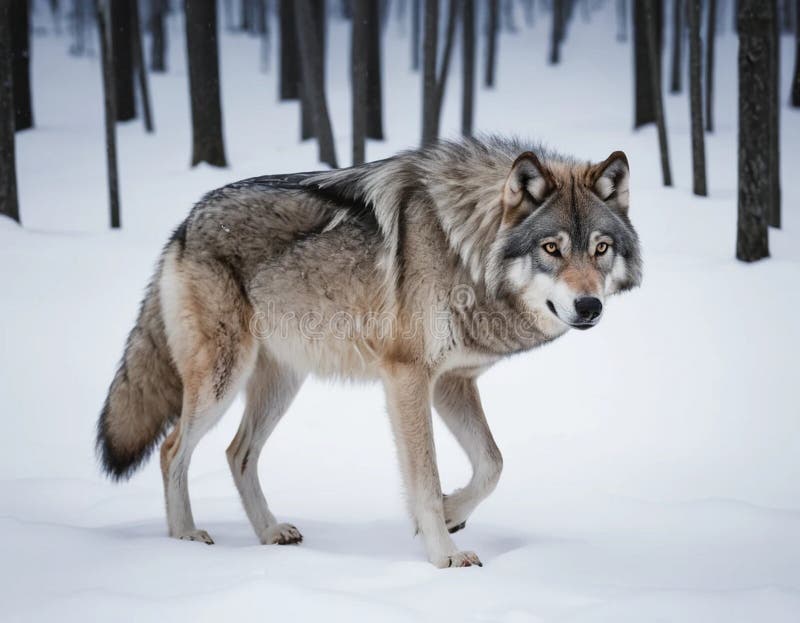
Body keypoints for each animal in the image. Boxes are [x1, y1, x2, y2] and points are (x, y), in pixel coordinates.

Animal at [97, 136, 641, 568]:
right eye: (551, 248)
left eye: (600, 248)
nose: (589, 305)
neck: (463, 248)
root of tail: (186, 222)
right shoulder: (408, 376)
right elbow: (426, 475)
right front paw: (444, 555)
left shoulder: (451, 382)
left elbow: (493, 464)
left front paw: (451, 514)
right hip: (221, 380)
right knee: (172, 450)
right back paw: (185, 539)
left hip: (281, 383)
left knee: (237, 453)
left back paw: (270, 533)